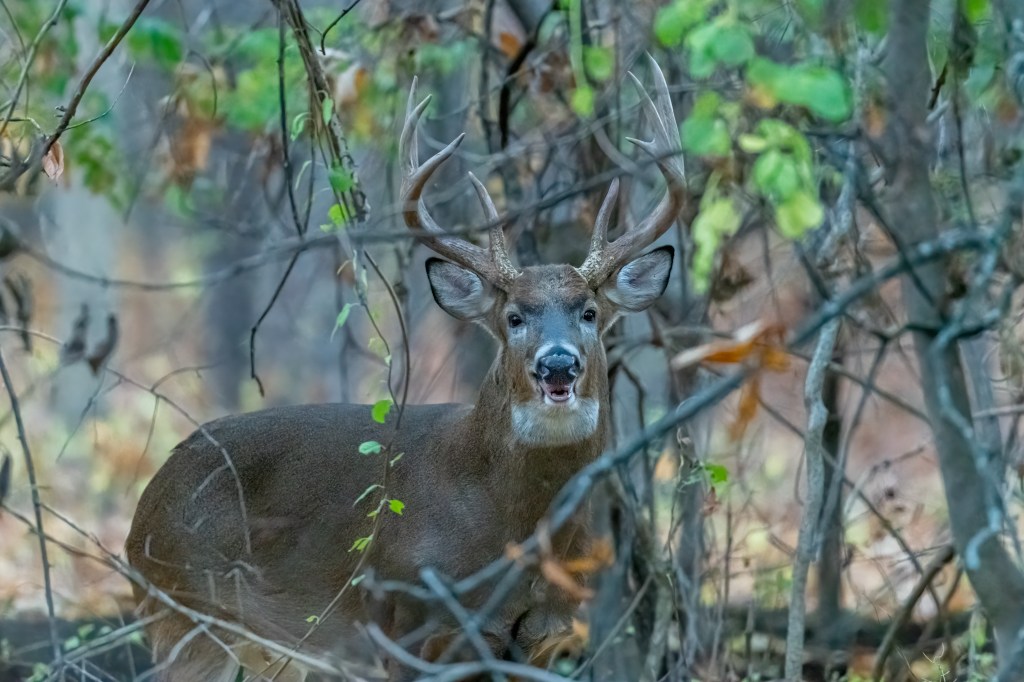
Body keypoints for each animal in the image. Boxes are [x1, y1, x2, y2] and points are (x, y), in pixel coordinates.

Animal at [125, 57, 685, 682]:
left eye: (589, 312)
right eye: (513, 317)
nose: (558, 363)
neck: (509, 530)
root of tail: (145, 507)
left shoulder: (544, 636)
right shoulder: (403, 620)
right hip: (186, 613)